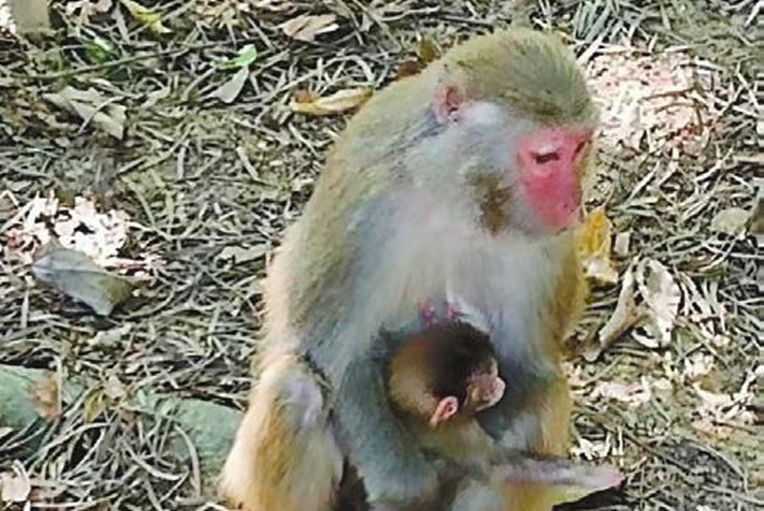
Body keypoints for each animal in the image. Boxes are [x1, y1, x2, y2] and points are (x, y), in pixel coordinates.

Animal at [220, 27, 597, 511]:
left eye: (579, 147)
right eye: (546, 157)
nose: (571, 202)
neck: (458, 195)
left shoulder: (546, 248)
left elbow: (527, 368)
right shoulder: (364, 206)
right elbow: (339, 354)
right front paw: (405, 484)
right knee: (295, 389)